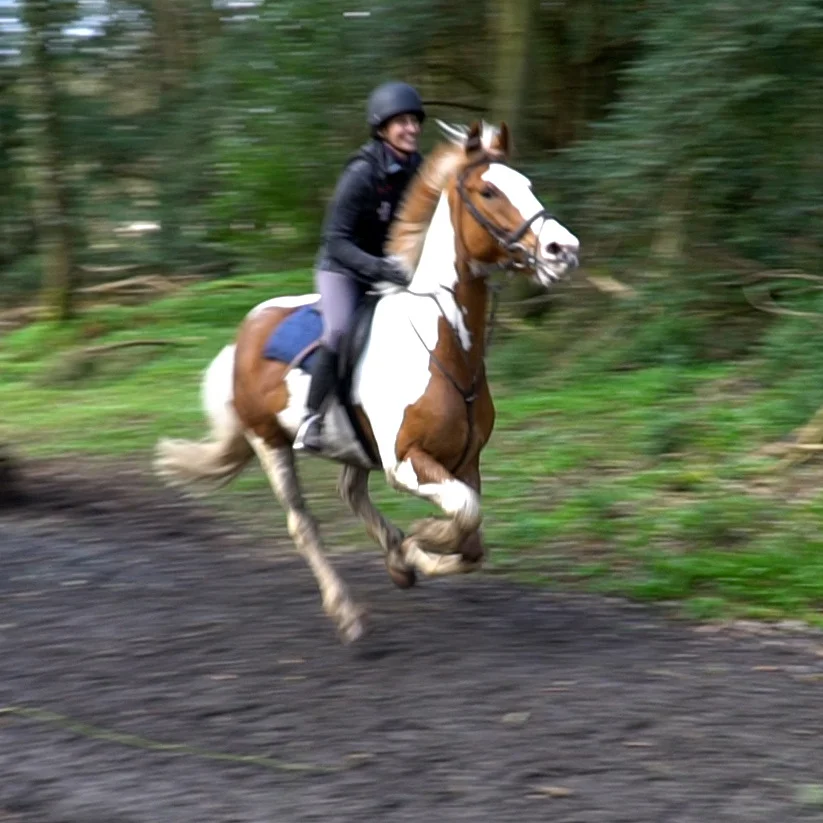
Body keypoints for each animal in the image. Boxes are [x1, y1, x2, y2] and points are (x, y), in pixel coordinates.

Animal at [154, 120, 580, 643]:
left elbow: (472, 536)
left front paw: (409, 553)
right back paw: (347, 611)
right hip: (269, 442)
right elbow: (464, 513)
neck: (444, 346)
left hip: (352, 446)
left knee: (350, 491)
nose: (564, 251)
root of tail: (244, 333)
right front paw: (418, 543)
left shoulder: (465, 461)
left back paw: (392, 559)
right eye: (489, 190)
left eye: (527, 184)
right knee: (302, 524)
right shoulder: (406, 463)